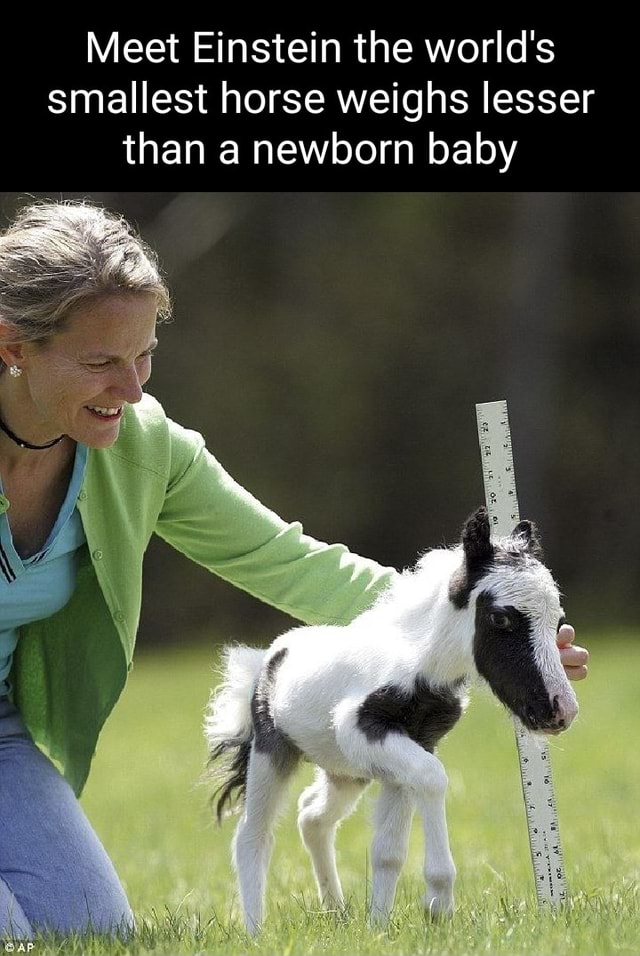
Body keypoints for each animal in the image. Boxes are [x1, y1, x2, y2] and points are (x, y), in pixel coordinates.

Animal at [205, 506, 578, 933]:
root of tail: (267, 658)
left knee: (312, 816)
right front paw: (438, 902)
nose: (561, 709)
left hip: (346, 772)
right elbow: (433, 778)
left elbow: (388, 850)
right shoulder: (362, 730)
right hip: (272, 754)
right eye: (500, 618)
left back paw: (337, 912)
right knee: (253, 833)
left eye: (557, 621)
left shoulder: (410, 748)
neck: (418, 663)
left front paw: (379, 929)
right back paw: (255, 932)